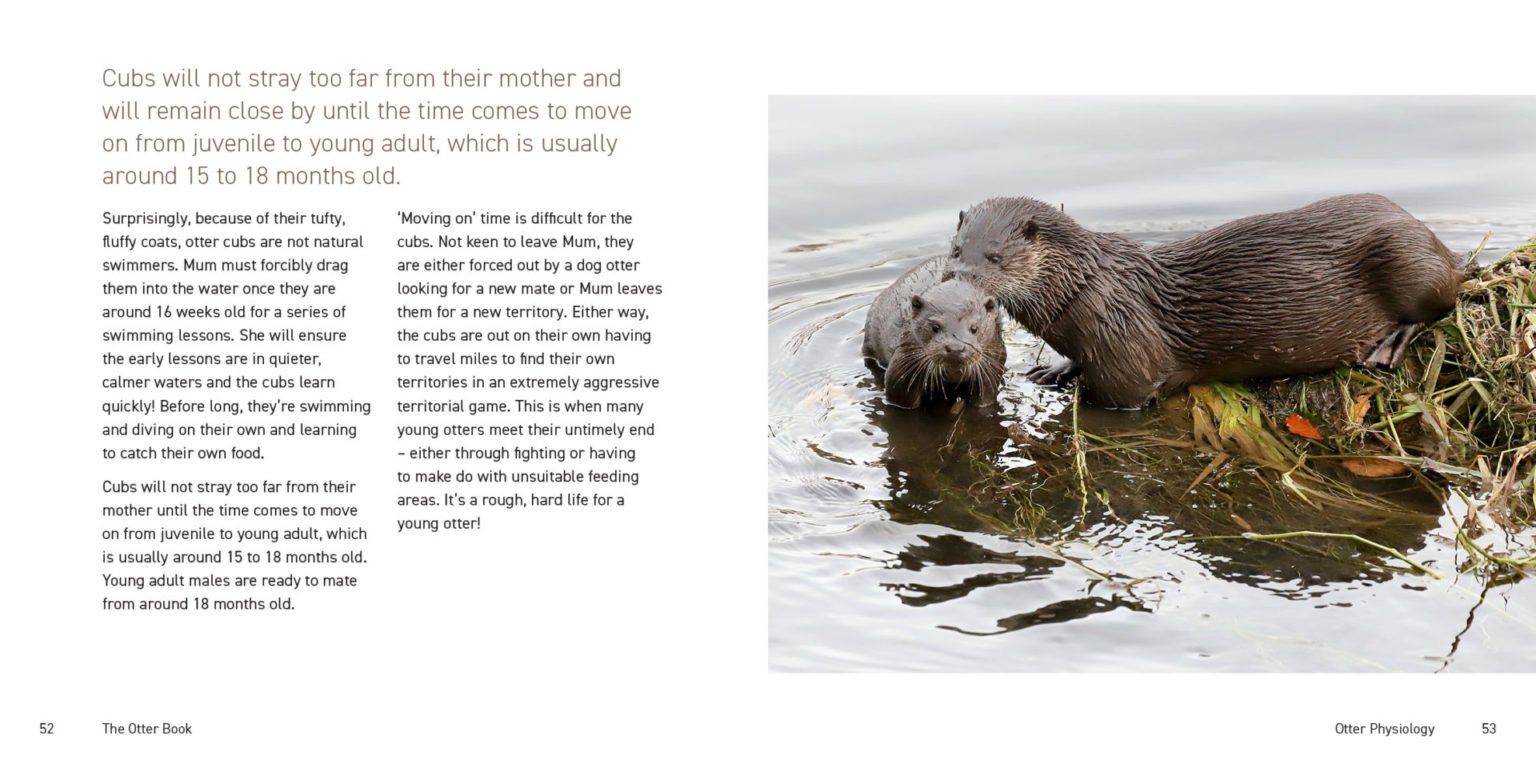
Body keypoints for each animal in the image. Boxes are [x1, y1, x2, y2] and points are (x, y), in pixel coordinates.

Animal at [862, 256, 1007, 409]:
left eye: (974, 328)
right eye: (935, 327)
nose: (955, 348)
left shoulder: (993, 363)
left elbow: (984, 398)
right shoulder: (904, 367)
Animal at [949, 194, 1464, 408]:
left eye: (994, 257)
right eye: (956, 250)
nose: (958, 278)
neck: (1087, 289)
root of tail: (1439, 243)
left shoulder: (1127, 360)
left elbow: (1121, 395)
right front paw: (1054, 370)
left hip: (1407, 259)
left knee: (1443, 302)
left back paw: (1387, 347)